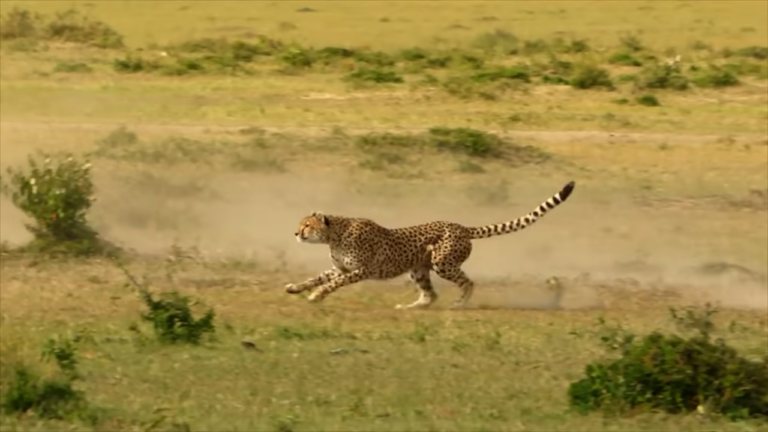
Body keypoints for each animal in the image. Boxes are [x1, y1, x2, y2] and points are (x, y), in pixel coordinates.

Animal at [285, 180, 575, 309]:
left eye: (307, 225)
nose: (296, 233)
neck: (335, 234)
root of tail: (461, 226)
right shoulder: (342, 268)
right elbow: (317, 277)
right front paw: (296, 288)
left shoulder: (362, 270)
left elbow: (333, 283)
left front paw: (316, 296)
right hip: (419, 269)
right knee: (430, 295)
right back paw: (410, 308)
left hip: (441, 262)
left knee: (467, 282)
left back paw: (460, 303)